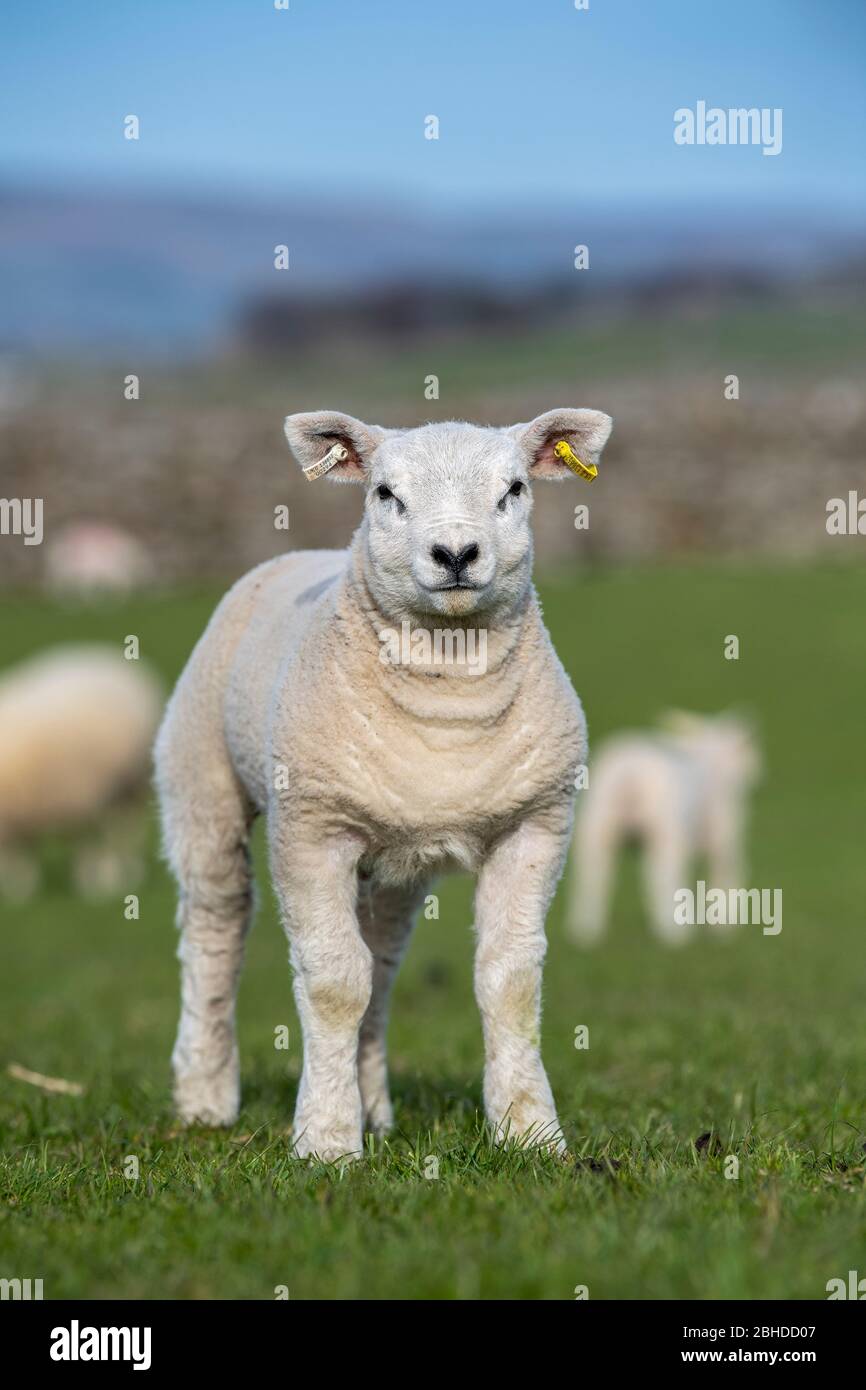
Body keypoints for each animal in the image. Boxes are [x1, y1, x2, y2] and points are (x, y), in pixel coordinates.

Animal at [0, 645, 163, 898]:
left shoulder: (82, 800)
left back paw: (123, 874)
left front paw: (92, 886)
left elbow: (87, 846)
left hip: (132, 783)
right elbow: (18, 855)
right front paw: (19, 889)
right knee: (117, 832)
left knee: (124, 833)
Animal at [155, 407, 613, 1161]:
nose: (455, 554)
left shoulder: (534, 826)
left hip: (395, 869)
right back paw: (205, 1098)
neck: (447, 701)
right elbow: (334, 984)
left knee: (382, 962)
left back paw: (374, 1107)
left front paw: (529, 1131)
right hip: (200, 783)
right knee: (214, 931)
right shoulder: (312, 831)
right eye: (385, 493)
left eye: (514, 489)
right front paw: (326, 1141)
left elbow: (509, 981)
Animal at [567, 711, 761, 947]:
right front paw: (725, 927)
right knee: (664, 877)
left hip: (597, 825)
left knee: (594, 877)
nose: (757, 772)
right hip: (668, 829)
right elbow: (728, 878)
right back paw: (676, 932)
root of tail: (631, 773)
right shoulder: (725, 836)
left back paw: (585, 931)